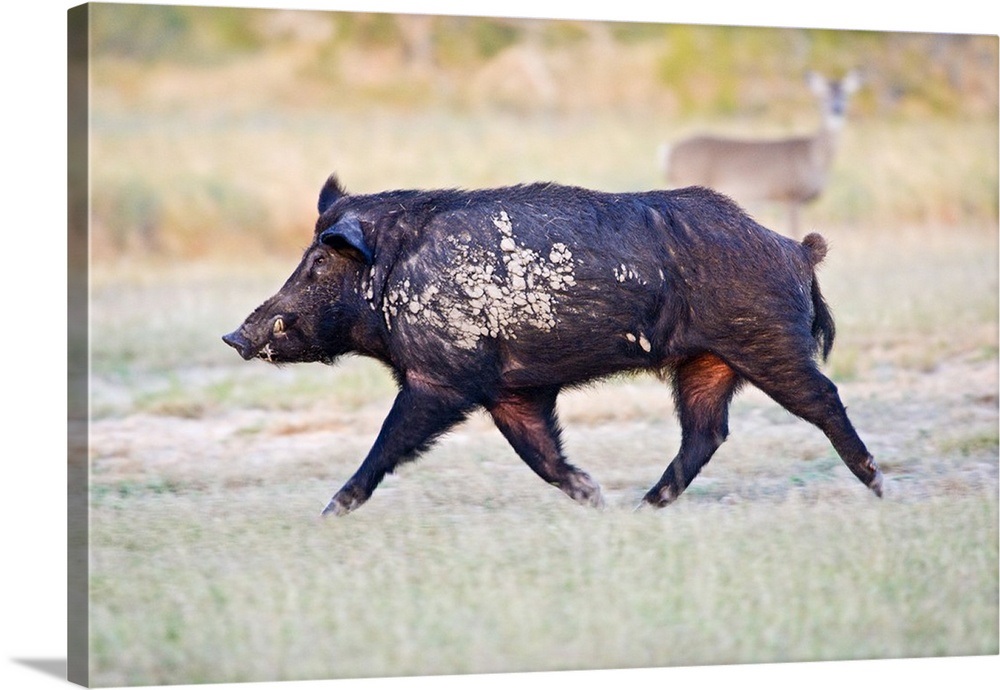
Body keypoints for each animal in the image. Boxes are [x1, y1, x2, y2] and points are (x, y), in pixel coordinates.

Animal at [659, 71, 861, 237]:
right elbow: (794, 232)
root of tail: (668, 151)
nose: (837, 109)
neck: (813, 156)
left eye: (846, 95)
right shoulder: (790, 195)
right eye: (824, 96)